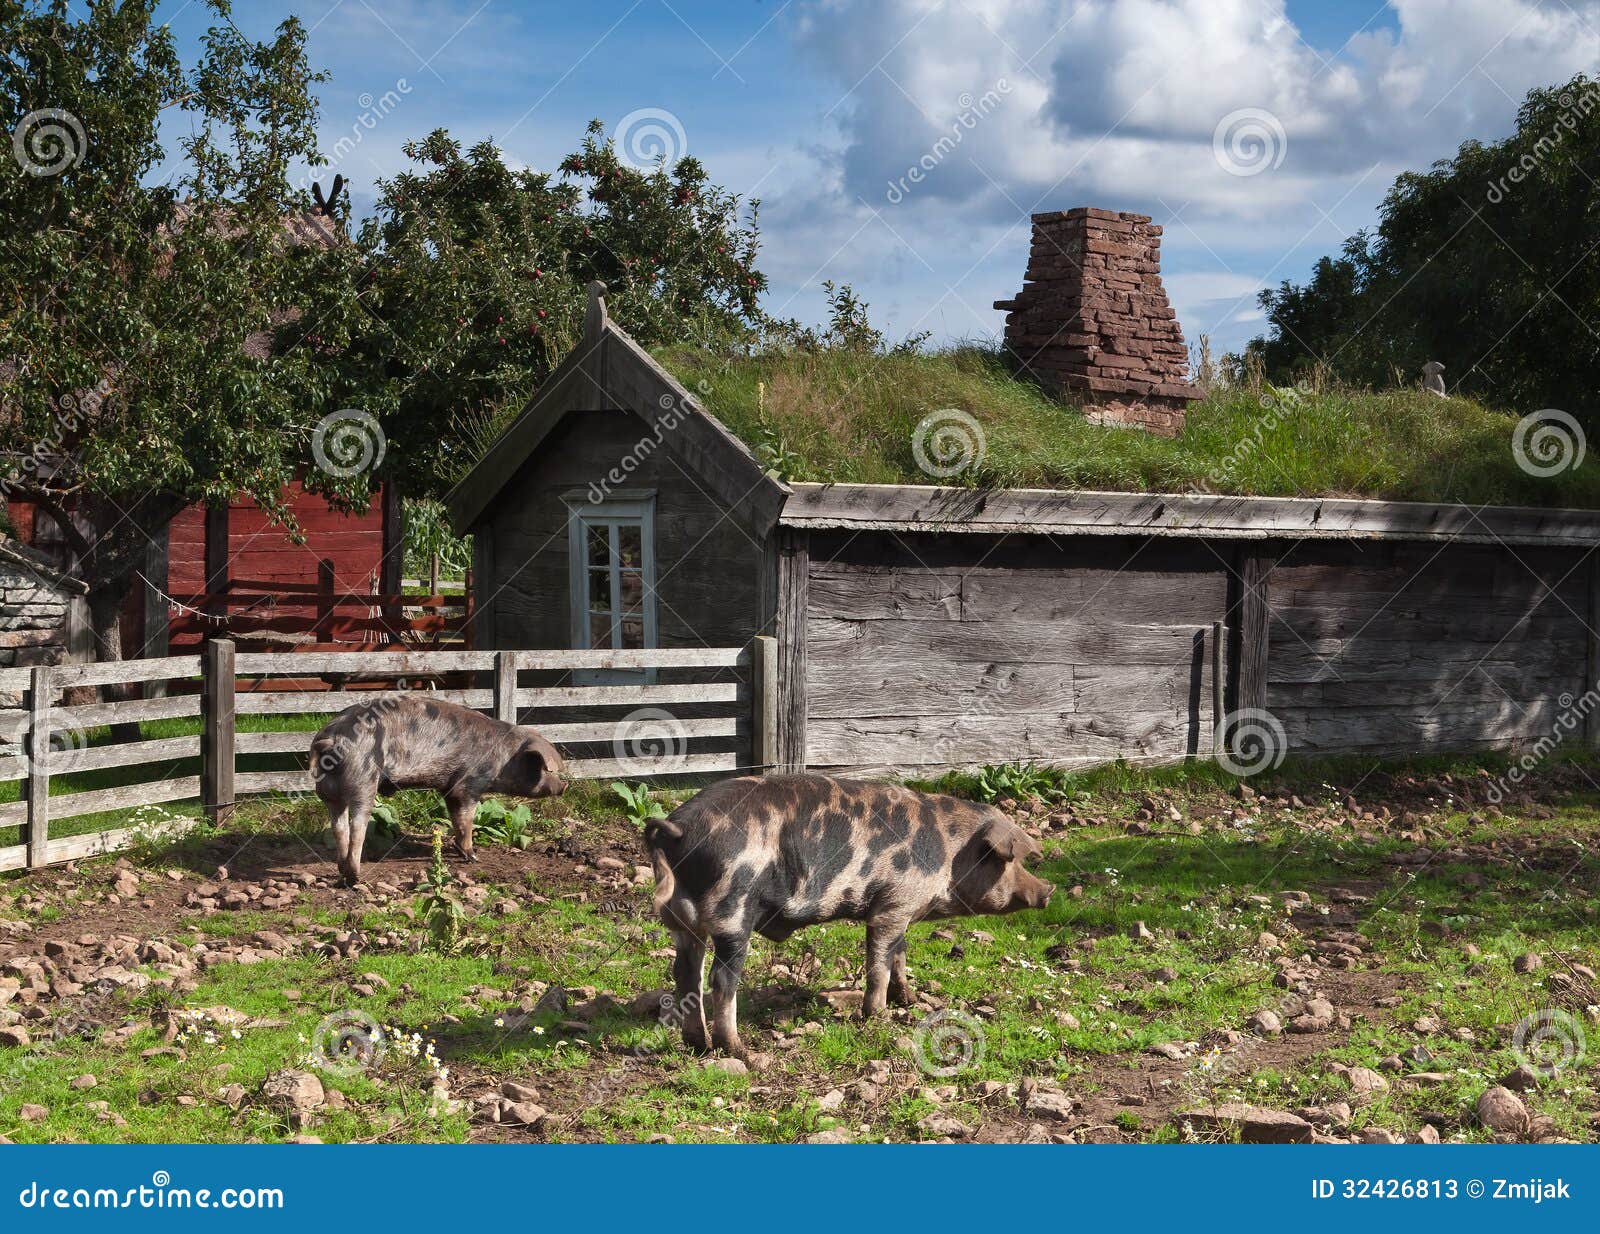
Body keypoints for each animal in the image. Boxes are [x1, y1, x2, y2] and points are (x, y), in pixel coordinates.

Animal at [309, 695, 564, 885]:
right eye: (550, 769)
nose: (566, 784)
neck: (505, 759)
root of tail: (330, 740)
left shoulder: (448, 788)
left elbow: (456, 819)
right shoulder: (469, 782)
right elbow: (466, 819)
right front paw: (474, 858)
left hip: (328, 792)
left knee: (338, 826)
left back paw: (343, 871)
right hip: (363, 780)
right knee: (357, 826)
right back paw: (356, 877)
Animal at [643, 773, 1054, 1057]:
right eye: (1009, 860)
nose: (1047, 890)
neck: (949, 853)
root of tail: (679, 829)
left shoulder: (899, 909)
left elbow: (899, 956)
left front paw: (911, 1000)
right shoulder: (892, 906)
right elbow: (880, 965)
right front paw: (879, 1016)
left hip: (683, 923)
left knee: (685, 974)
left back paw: (698, 1044)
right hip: (734, 911)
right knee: (721, 979)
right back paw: (739, 1051)